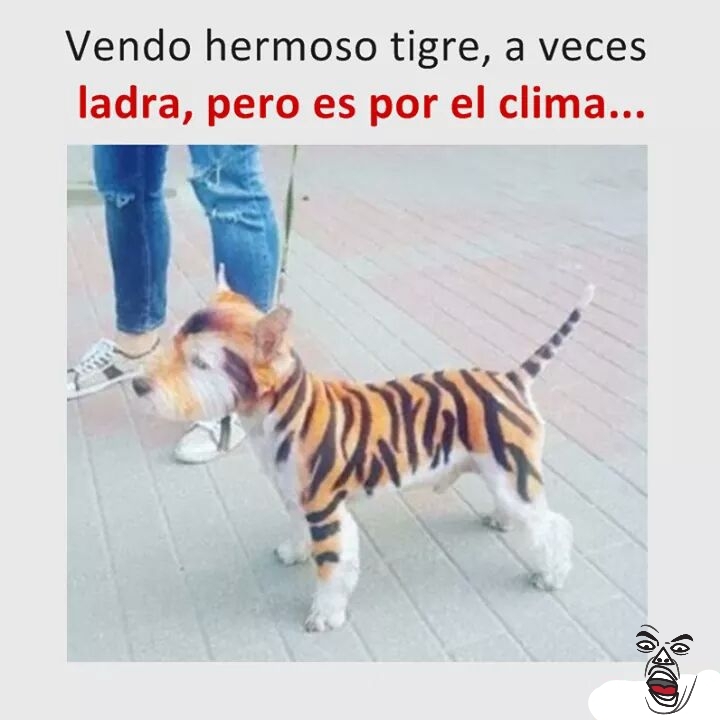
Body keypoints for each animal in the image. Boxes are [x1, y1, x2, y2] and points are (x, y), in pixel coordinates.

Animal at [132, 267, 595, 632]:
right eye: (174, 344)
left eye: (200, 363)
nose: (137, 385)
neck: (280, 411)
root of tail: (511, 379)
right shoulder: (295, 498)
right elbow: (298, 532)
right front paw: (294, 552)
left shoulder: (324, 511)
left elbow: (332, 569)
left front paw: (325, 615)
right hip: (497, 469)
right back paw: (502, 520)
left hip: (512, 471)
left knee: (553, 526)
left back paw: (551, 575)